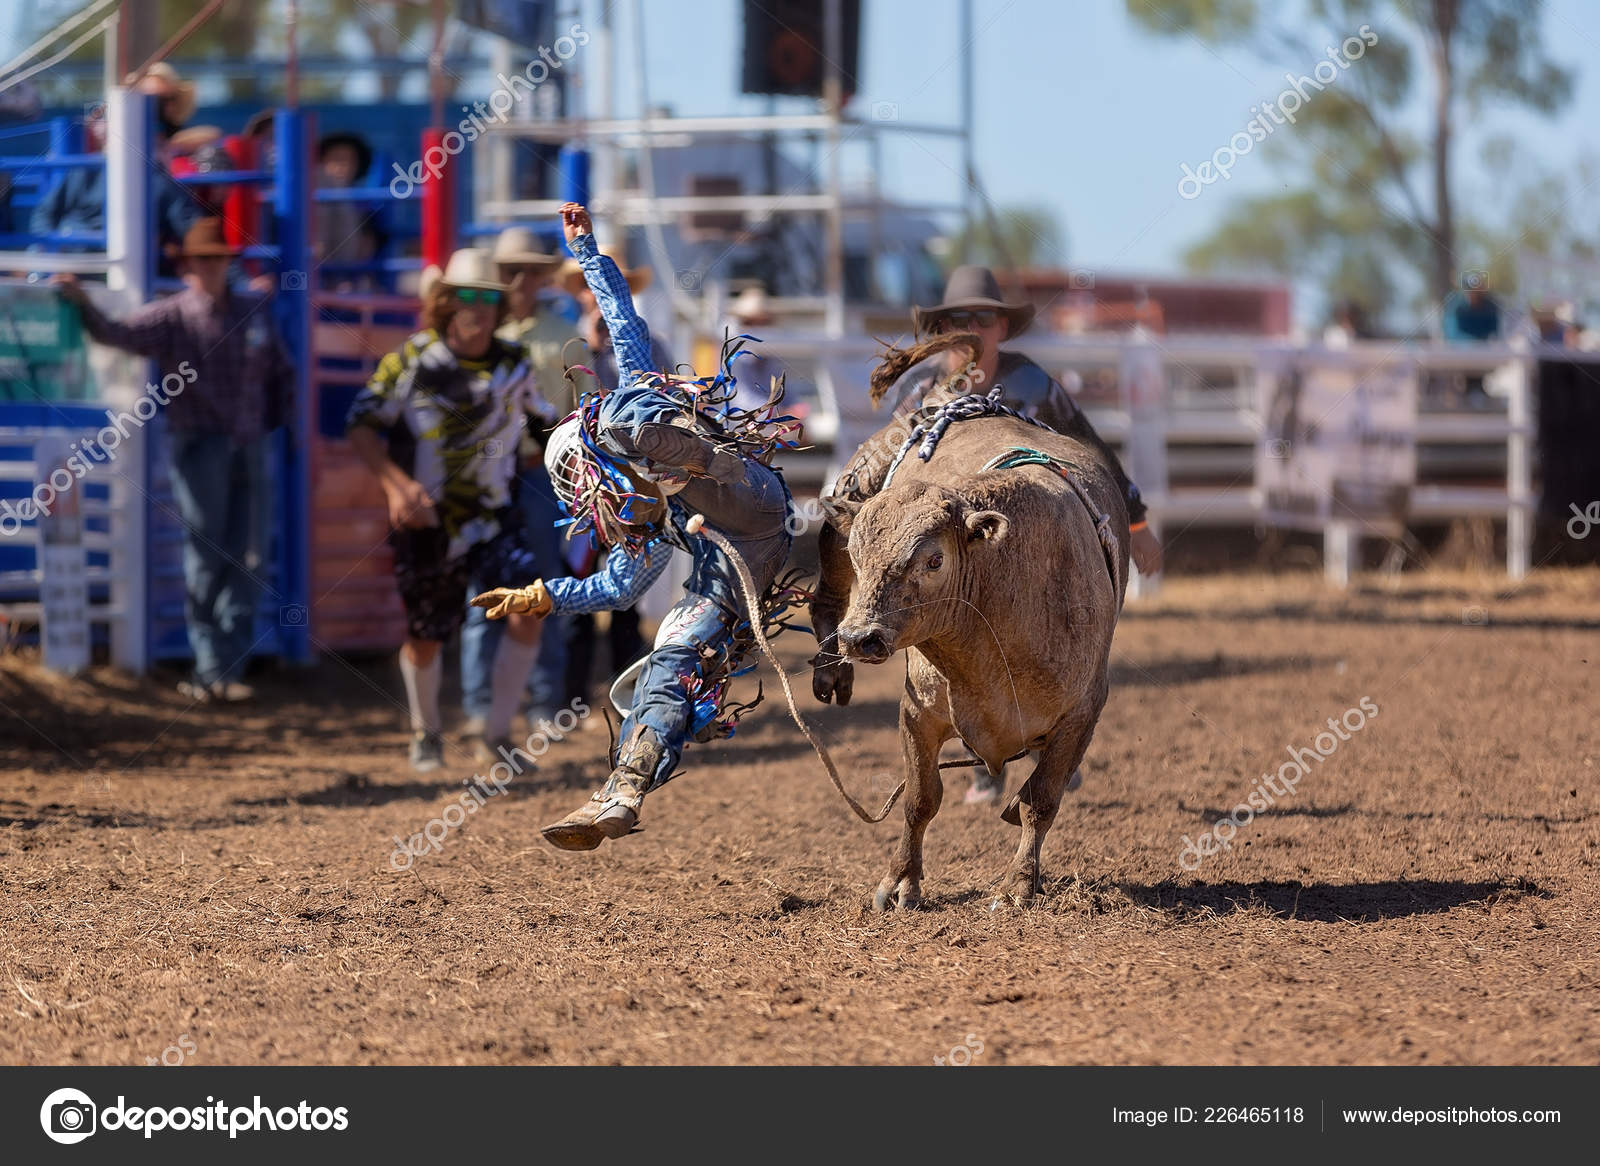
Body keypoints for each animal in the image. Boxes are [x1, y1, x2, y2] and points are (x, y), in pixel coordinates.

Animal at [810, 337, 1128, 909]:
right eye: (859, 554)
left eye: (934, 560)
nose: (860, 637)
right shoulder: (918, 710)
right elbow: (919, 798)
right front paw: (900, 881)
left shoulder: (1084, 711)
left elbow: (1040, 801)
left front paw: (1021, 882)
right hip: (856, 484)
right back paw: (830, 664)